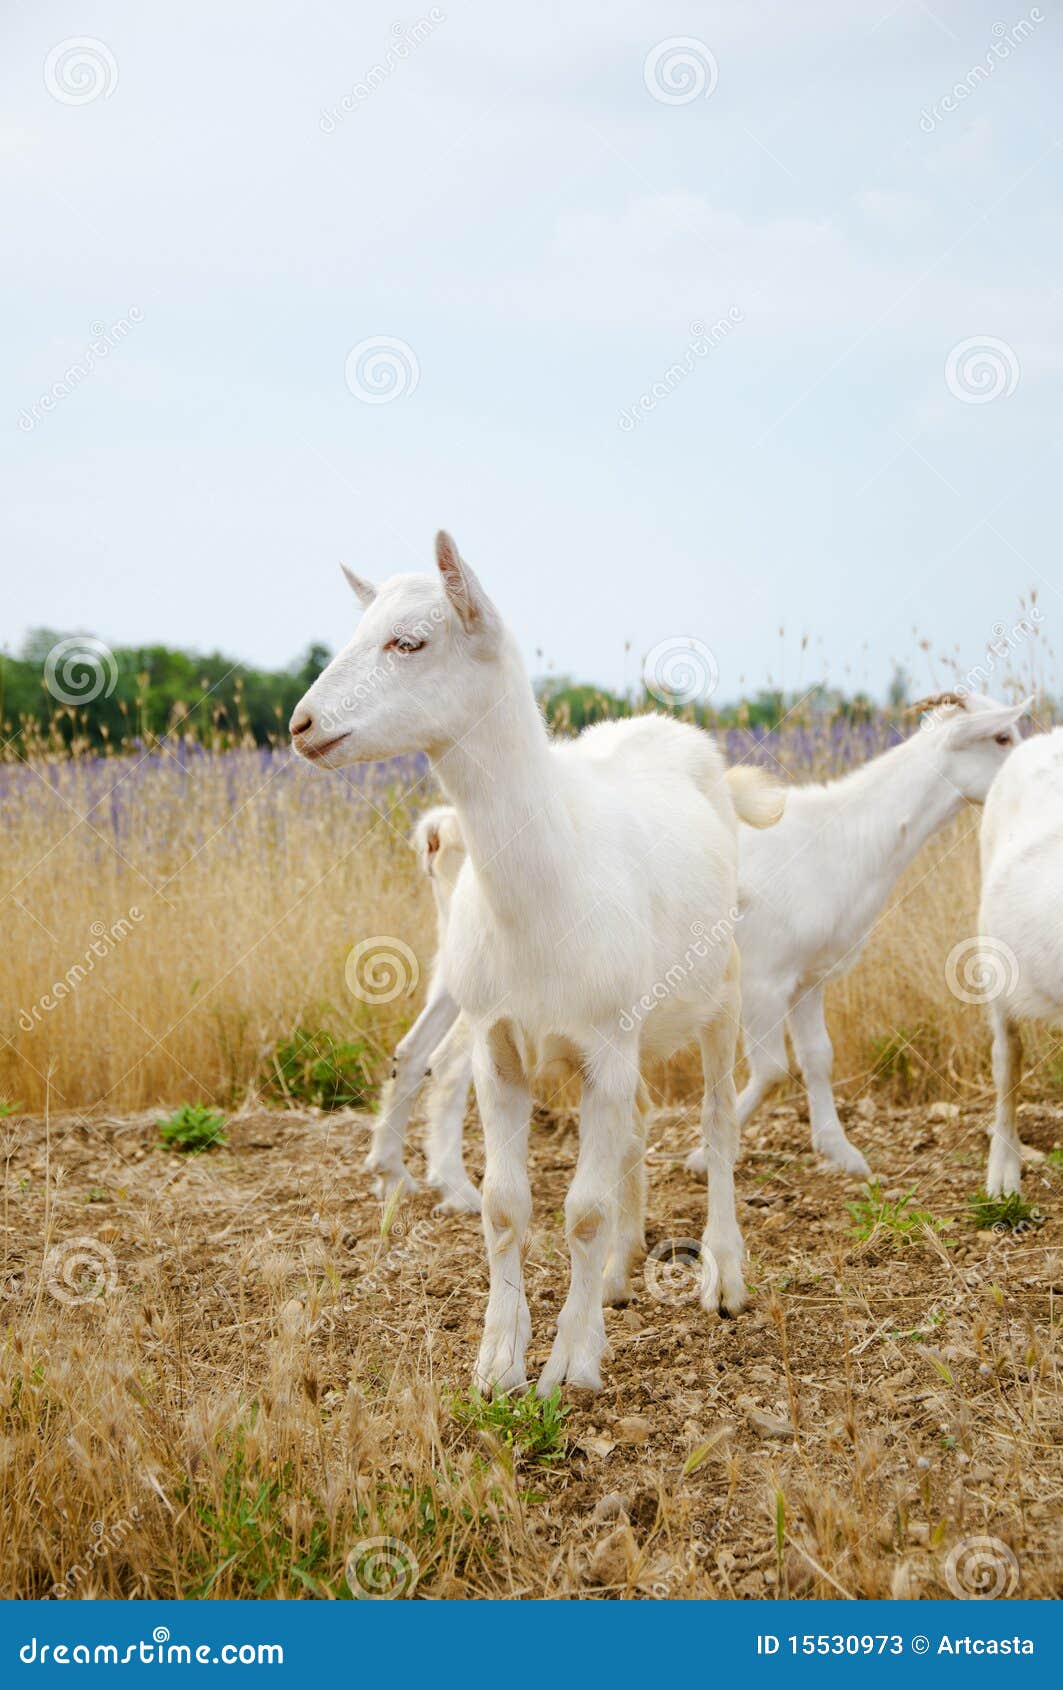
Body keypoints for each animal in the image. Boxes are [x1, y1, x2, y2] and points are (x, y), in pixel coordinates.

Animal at [291, 531, 783, 1393]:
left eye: (408, 642)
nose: (302, 723)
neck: (550, 877)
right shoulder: (500, 1045)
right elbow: (505, 1204)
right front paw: (499, 1359)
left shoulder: (604, 1045)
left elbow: (580, 1210)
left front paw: (569, 1366)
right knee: (637, 1125)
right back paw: (621, 1270)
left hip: (718, 988)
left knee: (718, 1121)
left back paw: (722, 1272)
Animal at [687, 690, 1031, 1181]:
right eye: (1002, 737)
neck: (841, 838)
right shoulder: (763, 979)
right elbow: (772, 1069)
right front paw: (701, 1156)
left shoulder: (807, 979)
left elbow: (818, 1057)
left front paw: (840, 1150)